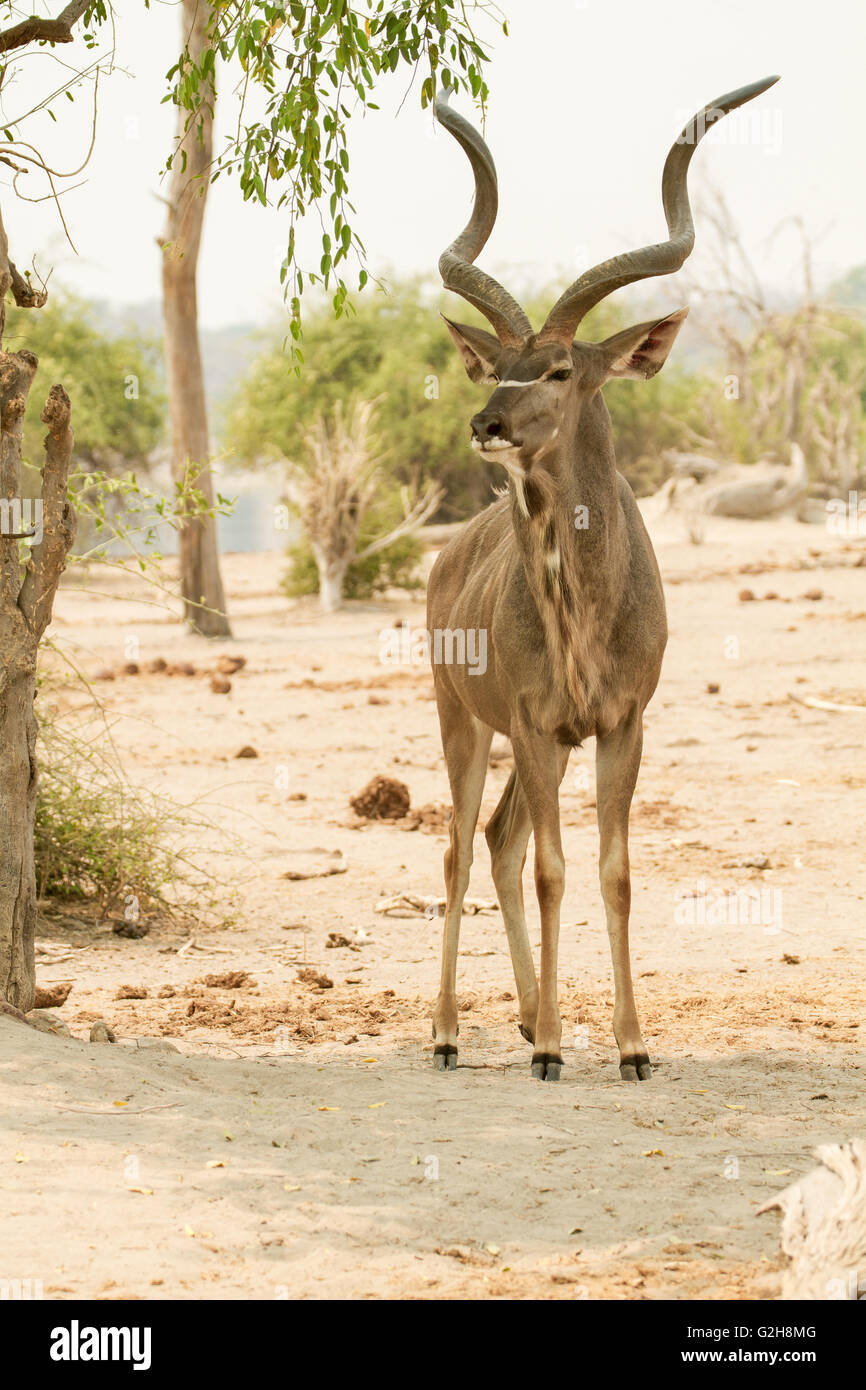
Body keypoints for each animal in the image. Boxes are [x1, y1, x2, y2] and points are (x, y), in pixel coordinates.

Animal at [426, 76, 779, 1080]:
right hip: (464, 720)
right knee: (461, 849)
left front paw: (629, 1046)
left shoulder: (619, 725)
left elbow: (613, 871)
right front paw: (553, 1047)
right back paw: (453, 1032)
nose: (487, 422)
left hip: (517, 738)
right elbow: (555, 869)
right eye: (499, 364)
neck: (582, 602)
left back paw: (515, 1019)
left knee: (497, 842)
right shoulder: (541, 725)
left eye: (555, 369)